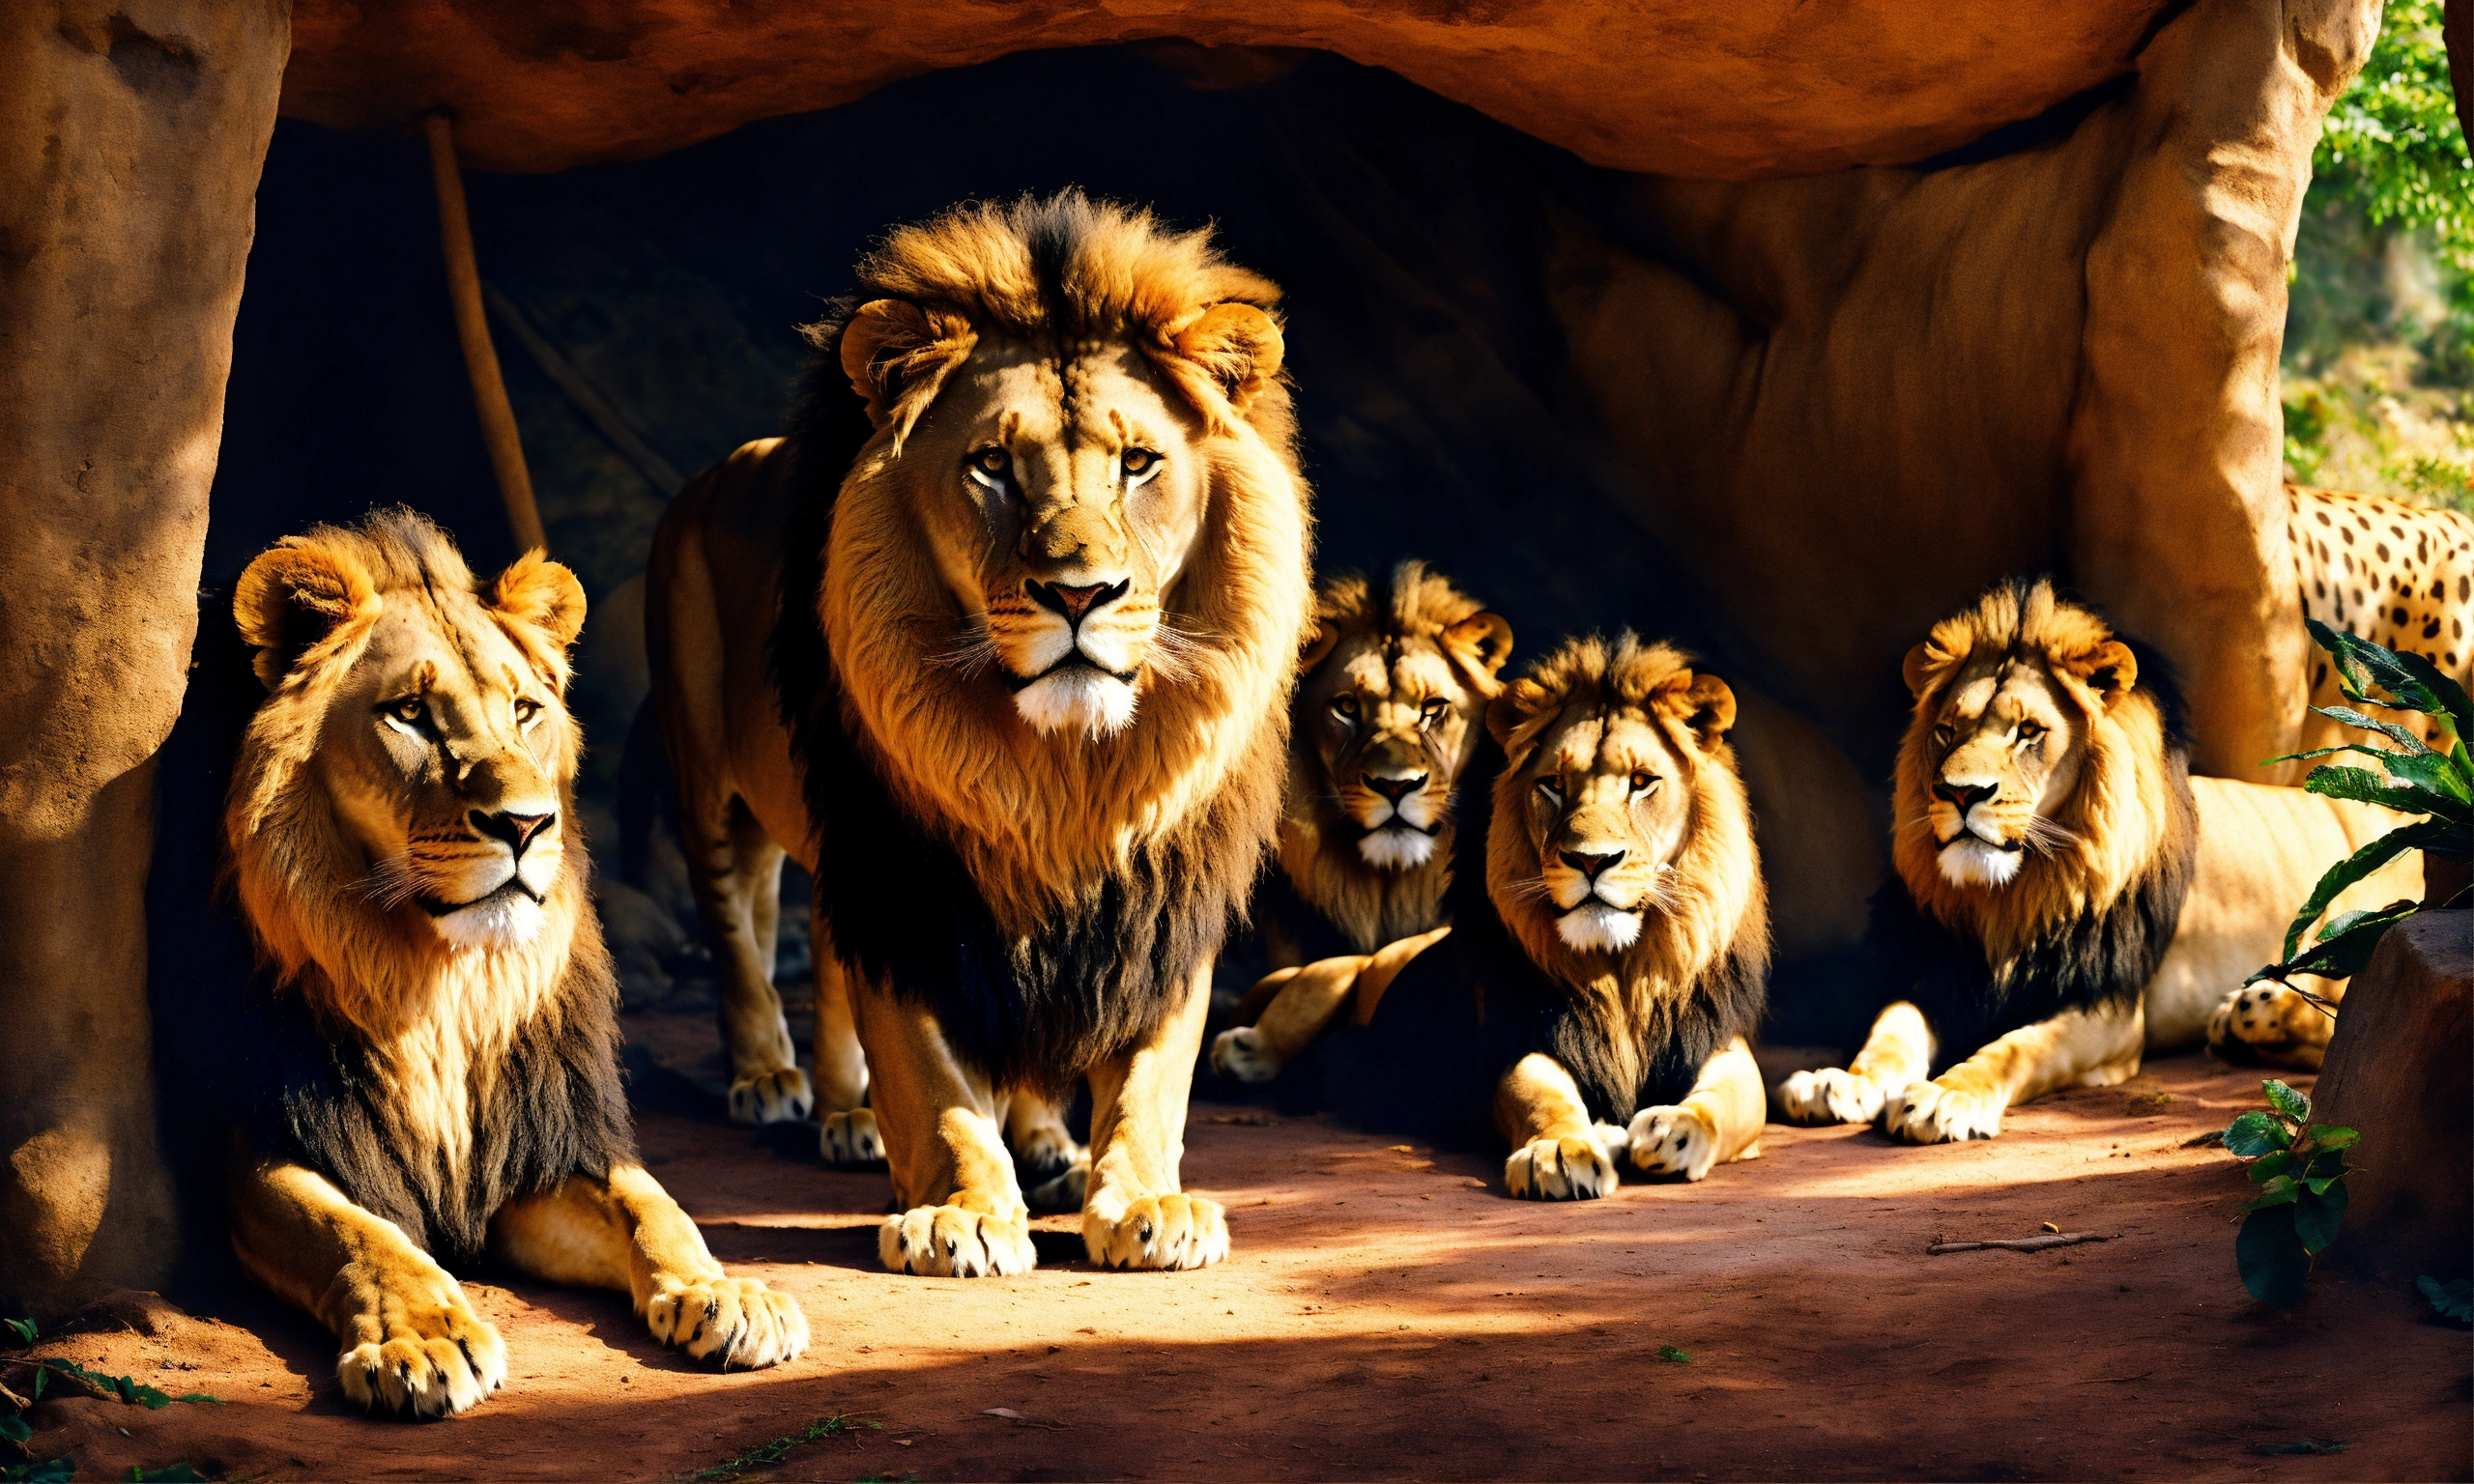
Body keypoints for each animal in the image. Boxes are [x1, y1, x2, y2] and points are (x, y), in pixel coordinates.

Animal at [210, 511, 805, 1419]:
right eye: (409, 714)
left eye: (525, 710)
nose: (527, 825)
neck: (444, 991)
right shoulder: (265, 1144)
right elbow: (362, 1235)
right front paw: (426, 1338)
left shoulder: (540, 1142)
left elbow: (654, 1205)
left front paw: (725, 1291)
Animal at [647, 191, 1312, 1275]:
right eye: (991, 466)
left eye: (1139, 464)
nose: (1080, 594)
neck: (1059, 770)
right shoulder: (903, 872)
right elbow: (931, 1076)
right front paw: (958, 1210)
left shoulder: (1164, 886)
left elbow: (1153, 1077)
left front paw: (1144, 1199)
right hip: (711, 775)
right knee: (737, 920)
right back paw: (776, 1082)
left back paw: (981, 1136)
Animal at [1277, 632, 1770, 1195]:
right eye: (1554, 783)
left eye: (1642, 781)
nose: (1591, 861)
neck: (1621, 977)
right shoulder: (1520, 1040)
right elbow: (1540, 1096)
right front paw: (1560, 1151)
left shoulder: (1722, 1044)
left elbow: (1726, 1101)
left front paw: (1678, 1129)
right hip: (1329, 981)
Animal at [1780, 578, 2424, 1142]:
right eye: (1946, 731)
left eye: (2028, 731)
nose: (1959, 794)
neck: (2006, 897)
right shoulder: (1935, 972)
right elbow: (1889, 1033)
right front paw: (1838, 1081)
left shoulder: (2107, 1007)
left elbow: (2013, 1049)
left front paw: (1947, 1096)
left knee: (2358, 1022)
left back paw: (2255, 1009)